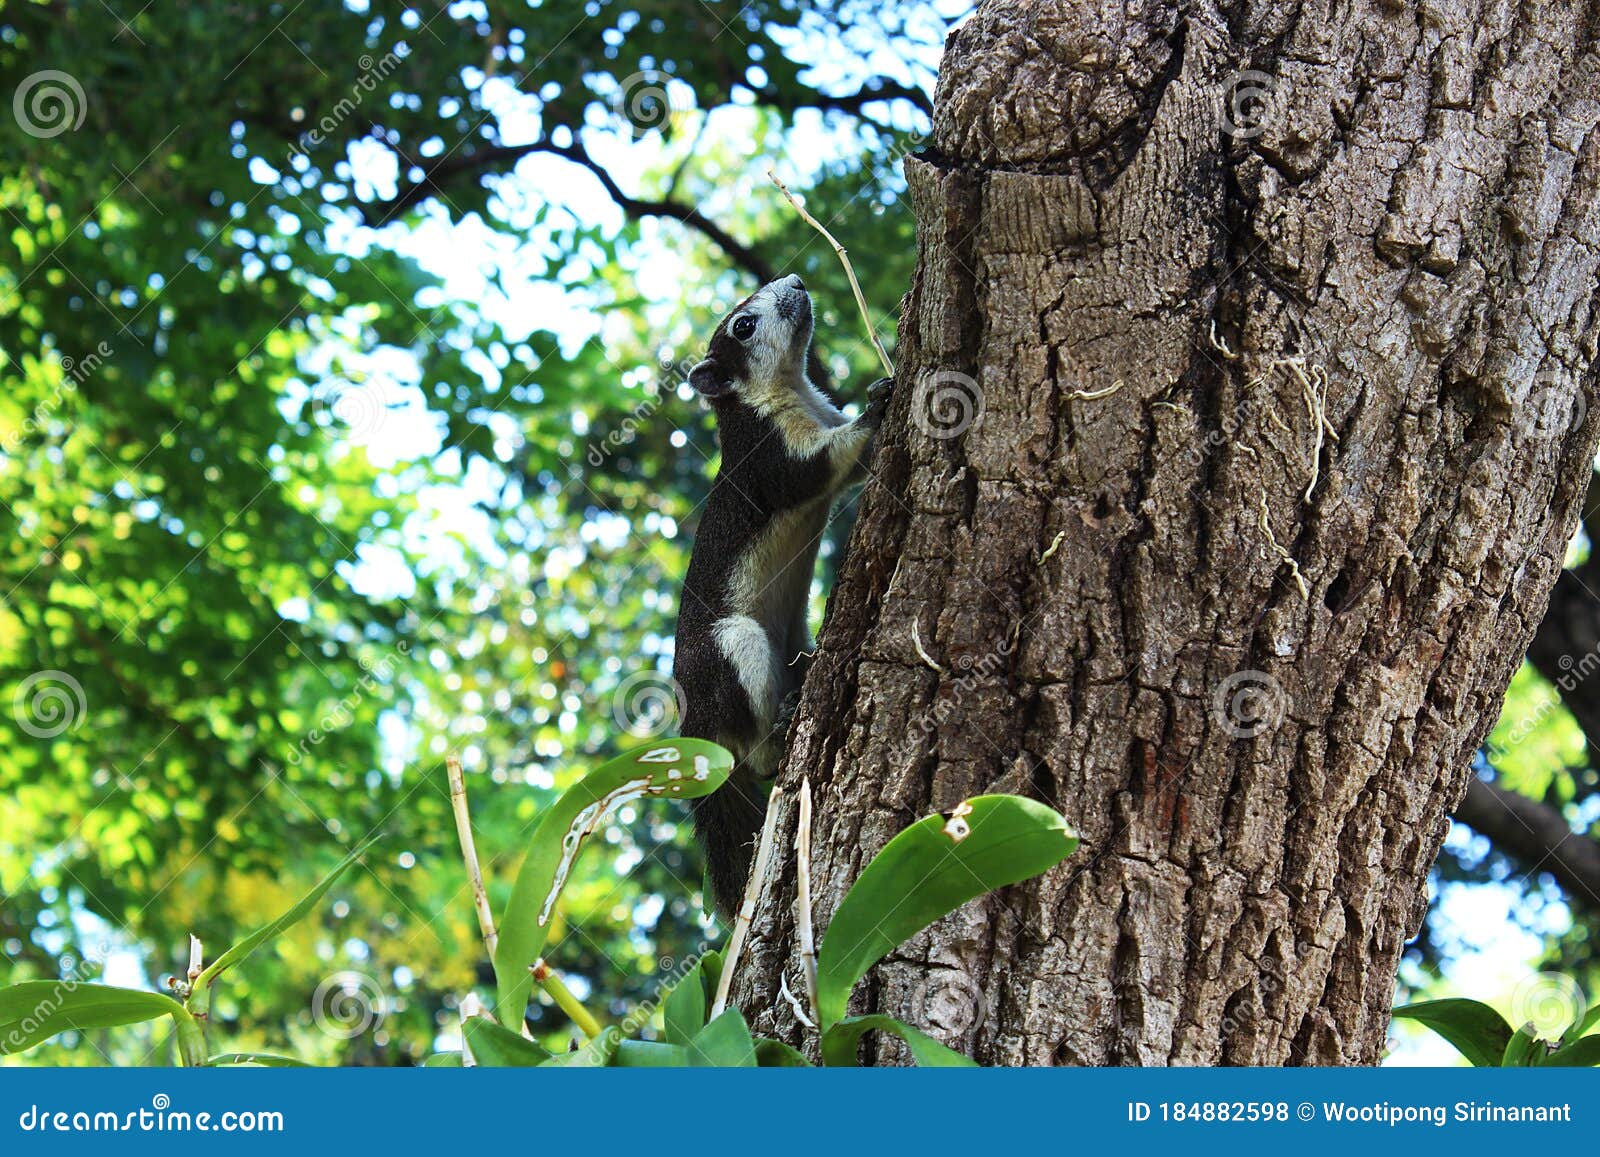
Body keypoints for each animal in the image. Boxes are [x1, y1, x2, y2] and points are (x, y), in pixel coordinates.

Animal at [672, 273, 892, 918]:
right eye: (742, 326)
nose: (795, 279)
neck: (791, 391)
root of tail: (698, 730)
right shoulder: (771, 458)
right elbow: (820, 467)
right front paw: (881, 402)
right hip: (730, 649)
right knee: (758, 755)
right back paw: (780, 731)